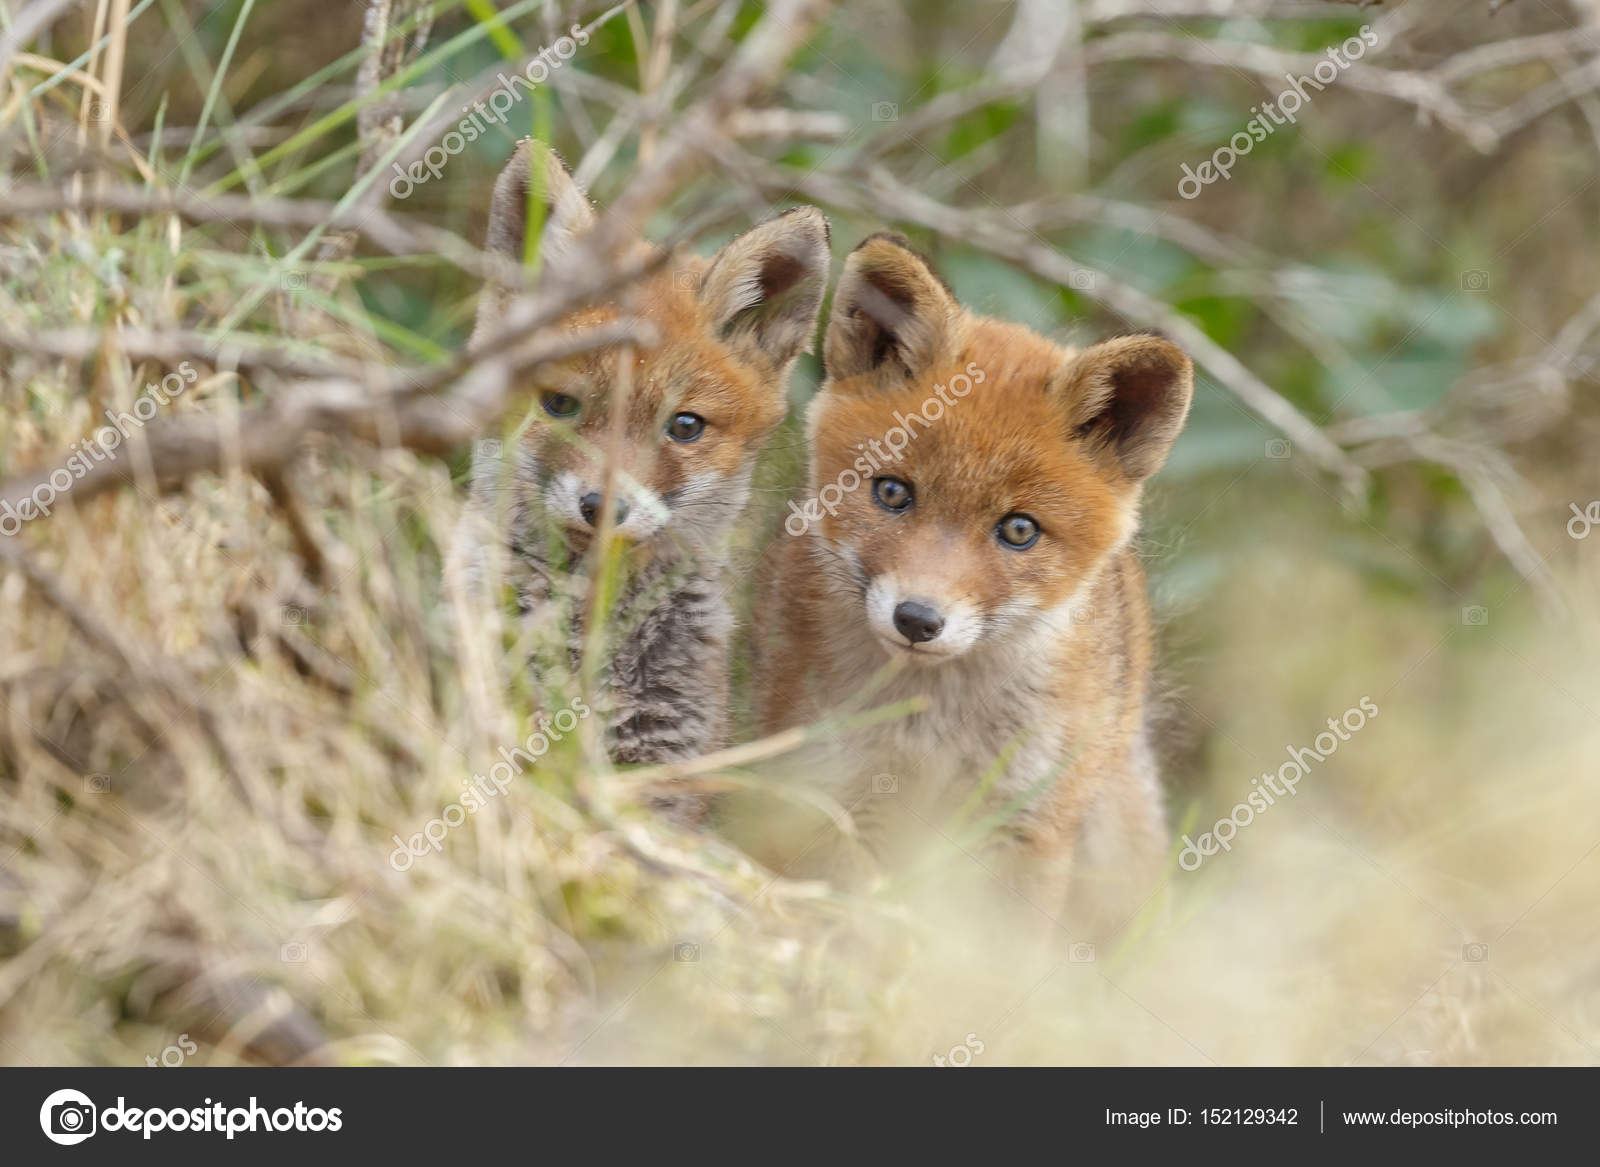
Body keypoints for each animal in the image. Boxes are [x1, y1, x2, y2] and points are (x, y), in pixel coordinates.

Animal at [744, 233, 1192, 933]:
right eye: (892, 492)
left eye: (1018, 531)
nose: (918, 620)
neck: (938, 722)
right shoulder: (831, 791)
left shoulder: (1028, 823)